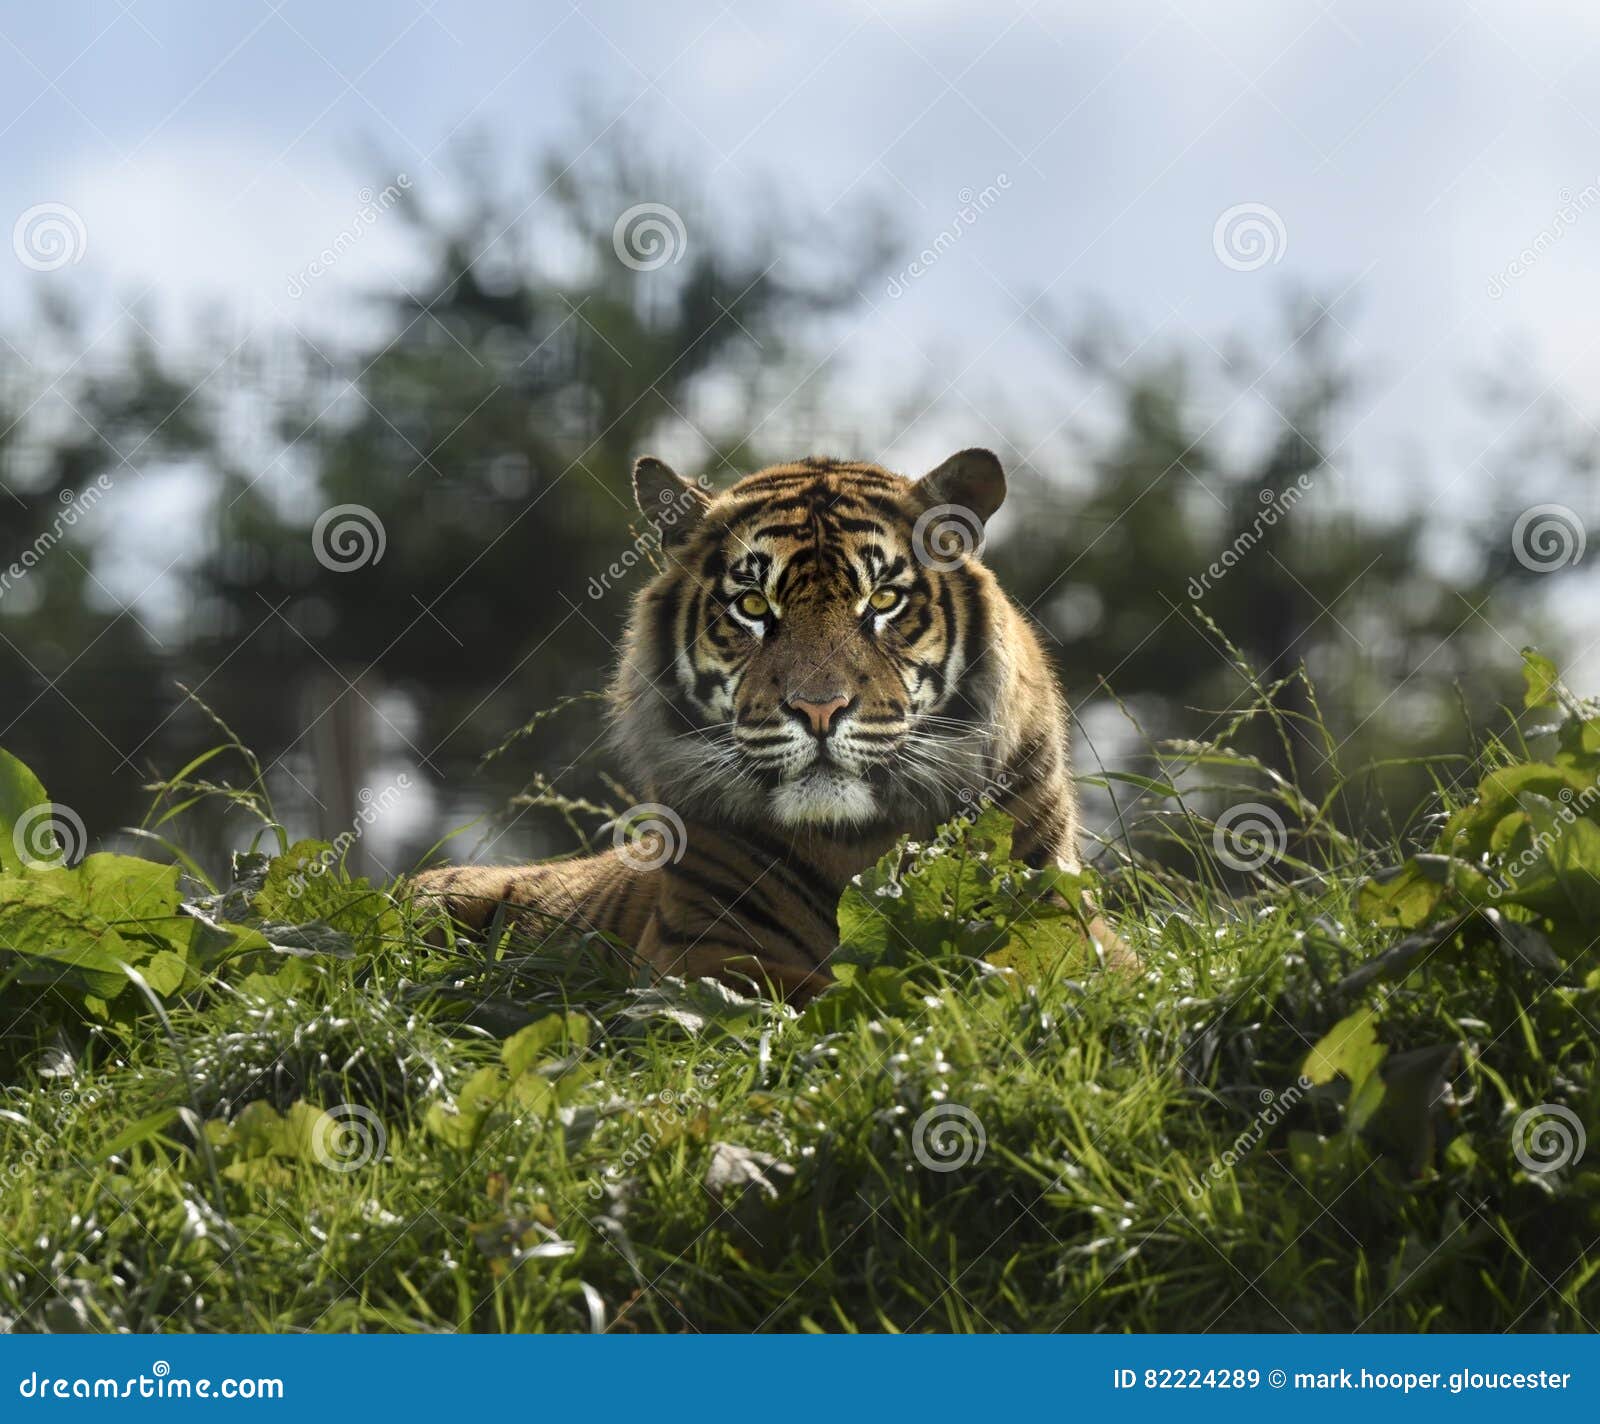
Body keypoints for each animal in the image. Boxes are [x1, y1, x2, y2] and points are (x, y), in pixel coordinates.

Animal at [410, 448, 1125, 997]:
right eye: (753, 606)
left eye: (883, 600)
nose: (818, 708)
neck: (856, 843)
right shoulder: (703, 955)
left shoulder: (1064, 919)